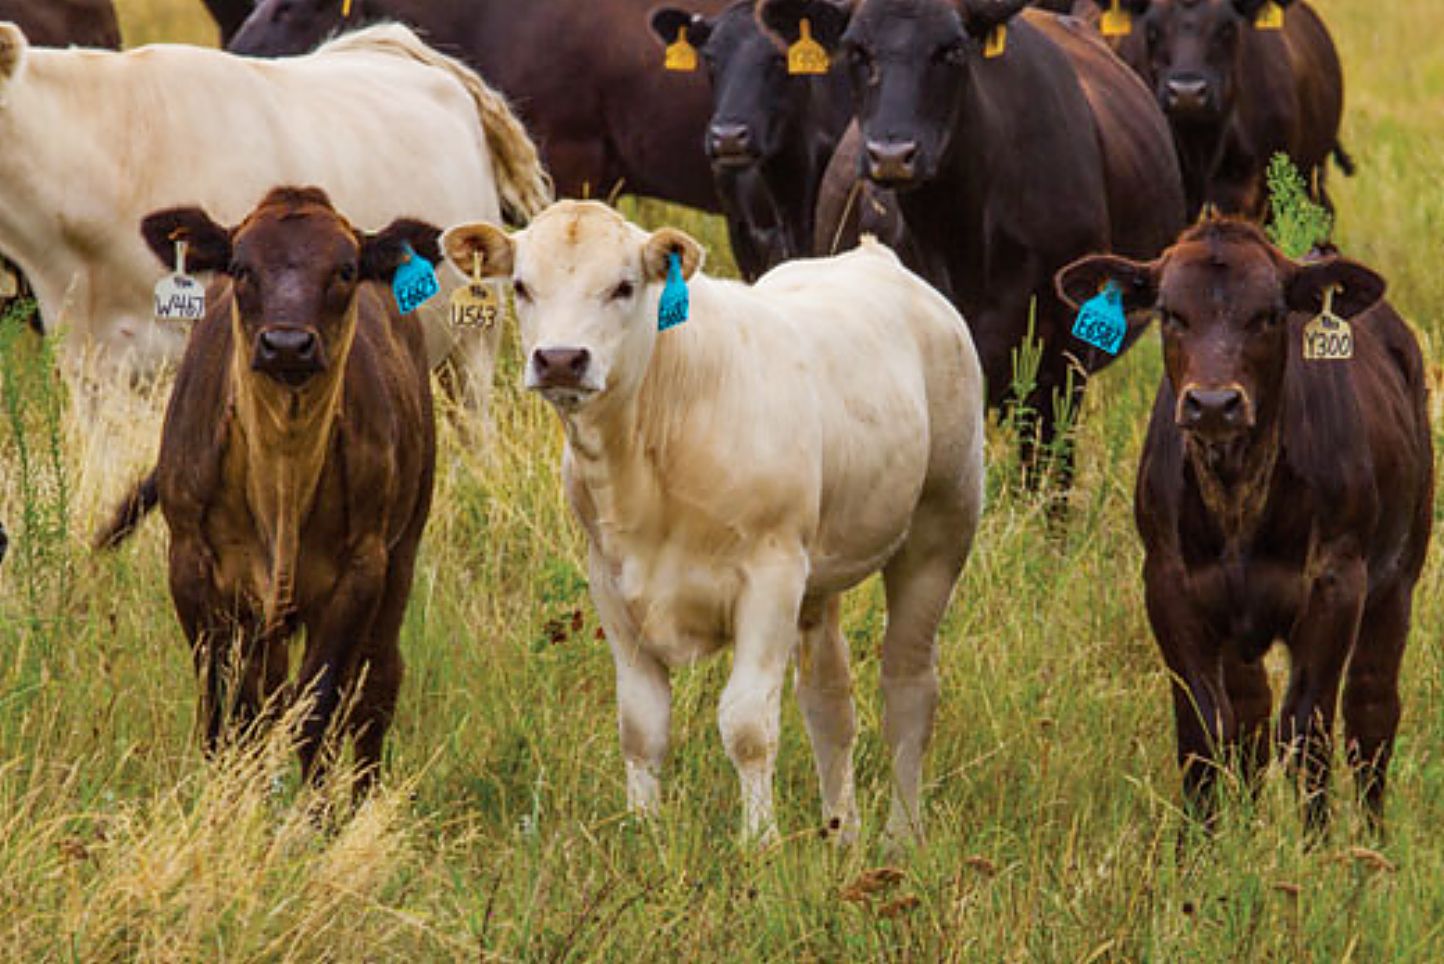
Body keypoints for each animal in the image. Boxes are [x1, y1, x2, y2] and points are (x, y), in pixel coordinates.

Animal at [97, 187, 438, 795]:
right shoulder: (189, 562)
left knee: (376, 683)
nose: (286, 345)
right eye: (240, 268)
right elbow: (225, 710)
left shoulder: (361, 570)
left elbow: (318, 707)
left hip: (403, 546)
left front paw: (317, 813)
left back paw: (364, 797)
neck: (282, 475)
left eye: (345, 270)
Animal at [442, 200, 985, 845]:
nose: (560, 360)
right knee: (829, 699)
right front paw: (645, 833)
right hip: (819, 578)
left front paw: (759, 844)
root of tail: (879, 259)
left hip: (940, 529)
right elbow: (642, 725)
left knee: (907, 687)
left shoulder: (771, 575)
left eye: (624, 286)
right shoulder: (611, 584)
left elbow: (747, 724)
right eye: (522, 286)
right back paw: (840, 832)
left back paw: (901, 836)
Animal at [1056, 218, 1433, 833]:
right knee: (1252, 717)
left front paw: (1314, 846)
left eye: (1269, 314)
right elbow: (1205, 729)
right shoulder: (1170, 586)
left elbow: (1308, 729)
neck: (1238, 496)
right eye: (1170, 312)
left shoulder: (1335, 584)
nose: (1213, 404)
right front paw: (1202, 845)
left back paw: (1371, 841)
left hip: (1398, 577)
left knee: (1371, 712)